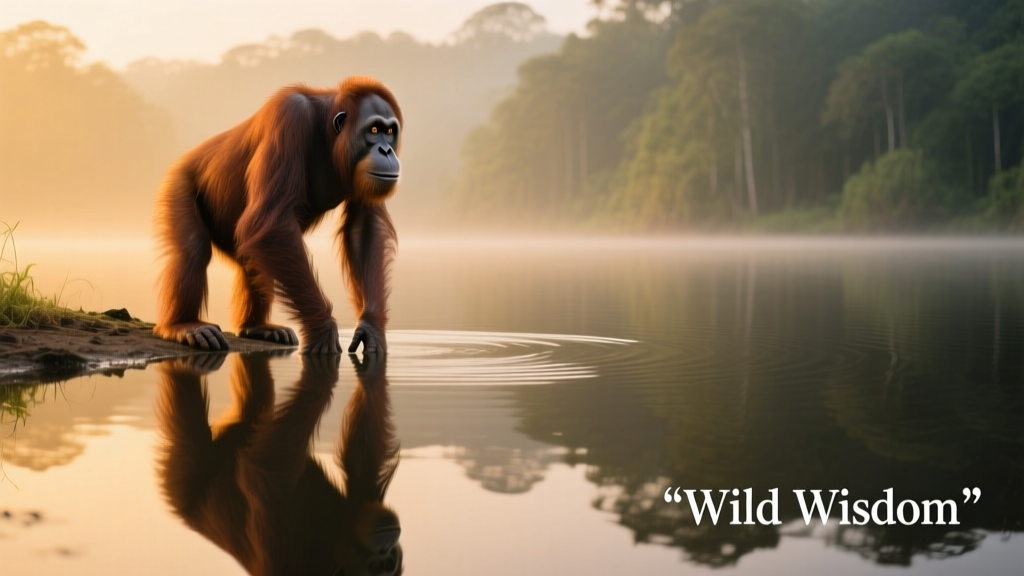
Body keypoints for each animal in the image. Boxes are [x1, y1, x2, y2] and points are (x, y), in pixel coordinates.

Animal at [153, 76, 401, 355]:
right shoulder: (291, 117)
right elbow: (268, 222)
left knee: (251, 260)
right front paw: (322, 327)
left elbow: (363, 226)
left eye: (389, 132)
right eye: (374, 130)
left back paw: (256, 327)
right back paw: (182, 325)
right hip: (177, 183)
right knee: (193, 249)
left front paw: (371, 328)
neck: (327, 133)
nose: (386, 151)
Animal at [155, 352, 403, 576]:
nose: (386, 550)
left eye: (390, 564)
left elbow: (360, 465)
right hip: (182, 481)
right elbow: (264, 468)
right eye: (376, 566)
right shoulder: (285, 546)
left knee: (255, 406)